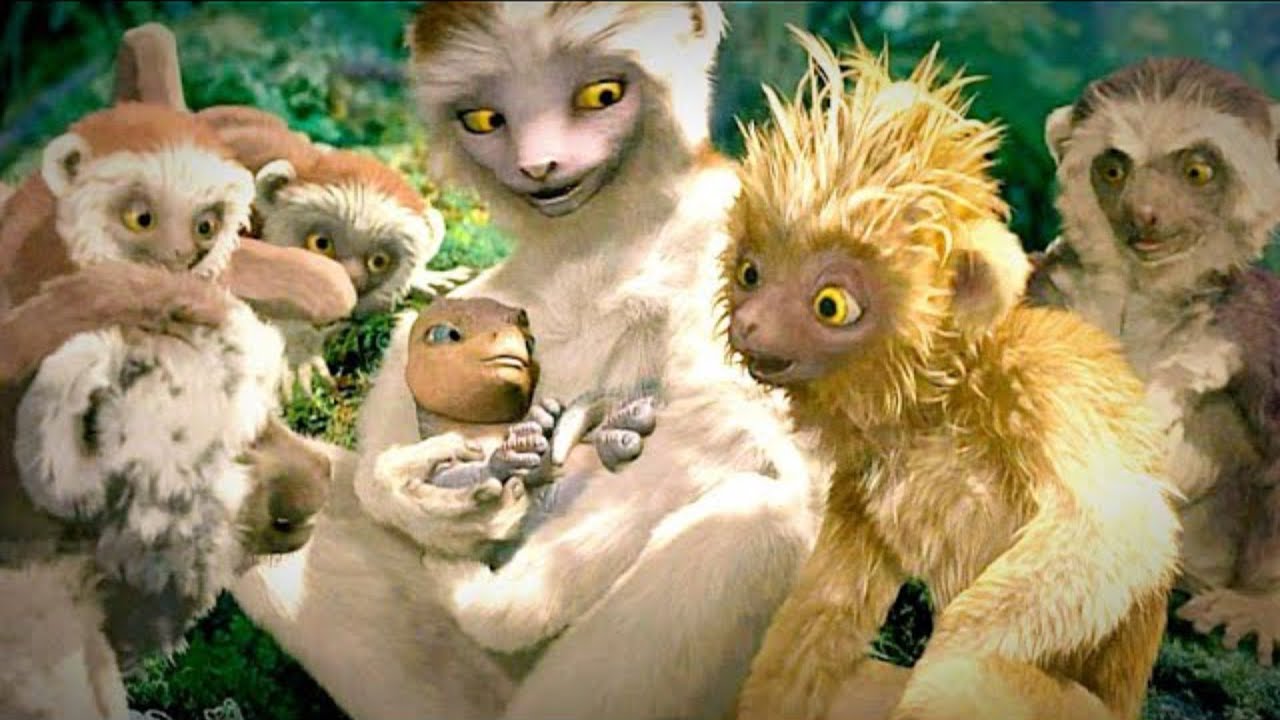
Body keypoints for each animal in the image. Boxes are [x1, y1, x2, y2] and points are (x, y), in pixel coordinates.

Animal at [230, 4, 822, 720]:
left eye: (601, 95)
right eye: (485, 118)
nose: (540, 165)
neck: (598, 234)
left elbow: (749, 434)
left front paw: (505, 595)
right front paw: (414, 492)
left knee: (758, 520)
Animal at [723, 32, 1181, 720]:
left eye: (831, 305)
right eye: (751, 273)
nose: (750, 325)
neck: (939, 402)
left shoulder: (1044, 385)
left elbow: (1115, 532)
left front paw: (937, 668)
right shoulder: (862, 484)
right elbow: (823, 617)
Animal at [1026, 57, 1280, 666]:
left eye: (1197, 172)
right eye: (1114, 170)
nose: (1145, 214)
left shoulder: (1258, 329)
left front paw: (1263, 606)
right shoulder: (1048, 290)